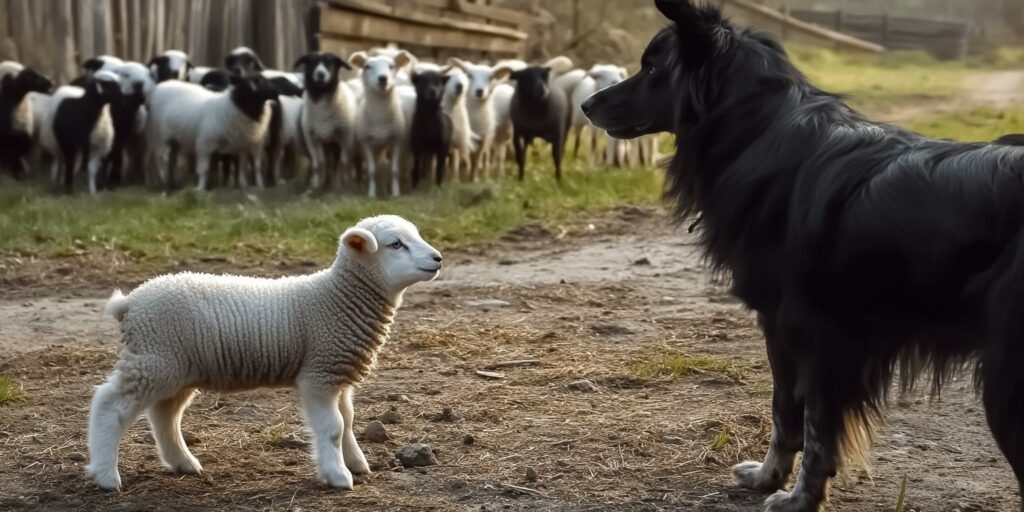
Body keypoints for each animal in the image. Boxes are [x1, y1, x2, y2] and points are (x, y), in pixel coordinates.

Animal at [86, 215, 443, 491]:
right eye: (396, 244)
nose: (438, 258)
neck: (336, 298)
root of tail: (130, 304)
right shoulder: (318, 374)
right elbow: (333, 428)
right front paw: (338, 475)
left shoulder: (338, 372)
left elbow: (349, 420)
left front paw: (356, 462)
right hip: (153, 359)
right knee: (110, 405)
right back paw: (106, 475)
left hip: (175, 366)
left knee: (165, 413)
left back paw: (183, 462)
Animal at [147, 75, 278, 191]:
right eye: (252, 82)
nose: (276, 93)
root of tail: (162, 84)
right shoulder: (205, 143)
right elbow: (204, 169)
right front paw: (200, 188)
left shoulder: (243, 145)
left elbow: (245, 167)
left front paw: (246, 185)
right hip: (160, 136)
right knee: (162, 159)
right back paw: (165, 182)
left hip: (175, 140)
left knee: (172, 160)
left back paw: (173, 184)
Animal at [294, 52, 356, 190]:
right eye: (311, 62)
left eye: (330, 62)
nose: (320, 74)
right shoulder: (313, 138)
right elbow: (318, 164)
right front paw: (317, 186)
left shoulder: (343, 138)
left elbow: (342, 162)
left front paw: (339, 186)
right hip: (326, 143)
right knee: (327, 162)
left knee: (343, 163)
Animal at [350, 50, 414, 198]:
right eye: (367, 66)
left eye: (392, 66)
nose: (383, 78)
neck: (380, 117)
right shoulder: (365, 143)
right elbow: (372, 170)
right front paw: (372, 194)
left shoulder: (397, 141)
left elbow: (394, 170)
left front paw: (395, 194)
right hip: (376, 146)